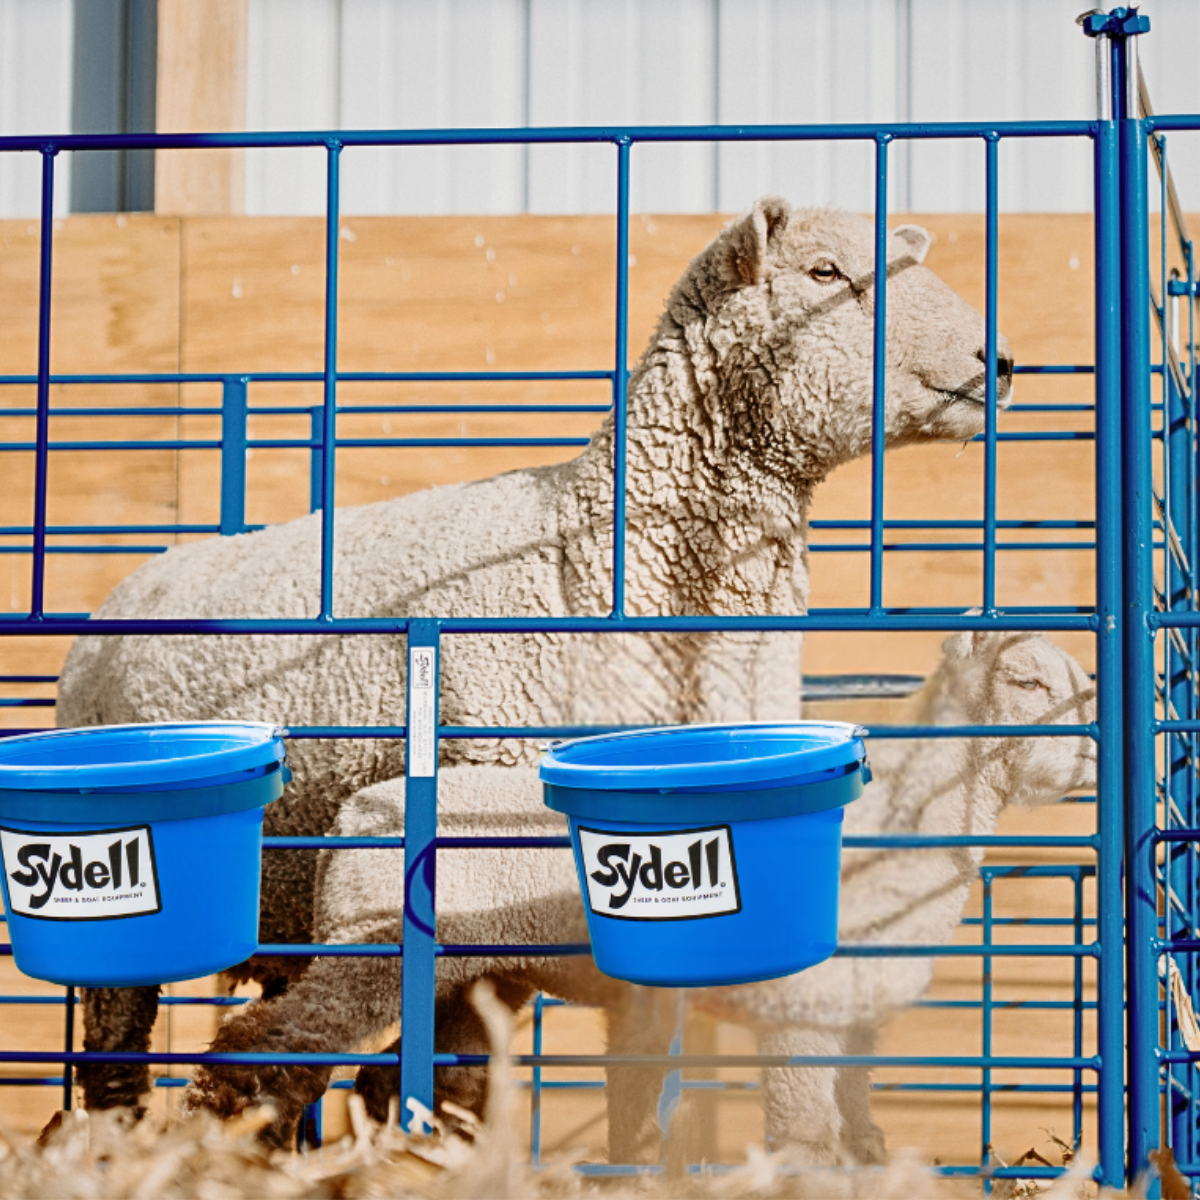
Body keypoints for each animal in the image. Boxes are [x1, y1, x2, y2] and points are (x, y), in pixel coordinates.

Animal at [180, 628, 1096, 1161]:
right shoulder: (800, 1009)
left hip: (463, 978)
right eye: (1027, 684)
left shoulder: (855, 1016)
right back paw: (236, 1124)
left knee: (395, 1079)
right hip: (372, 944)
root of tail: (354, 809)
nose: (1091, 752)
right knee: (288, 1033)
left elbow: (859, 1126)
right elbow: (804, 1134)